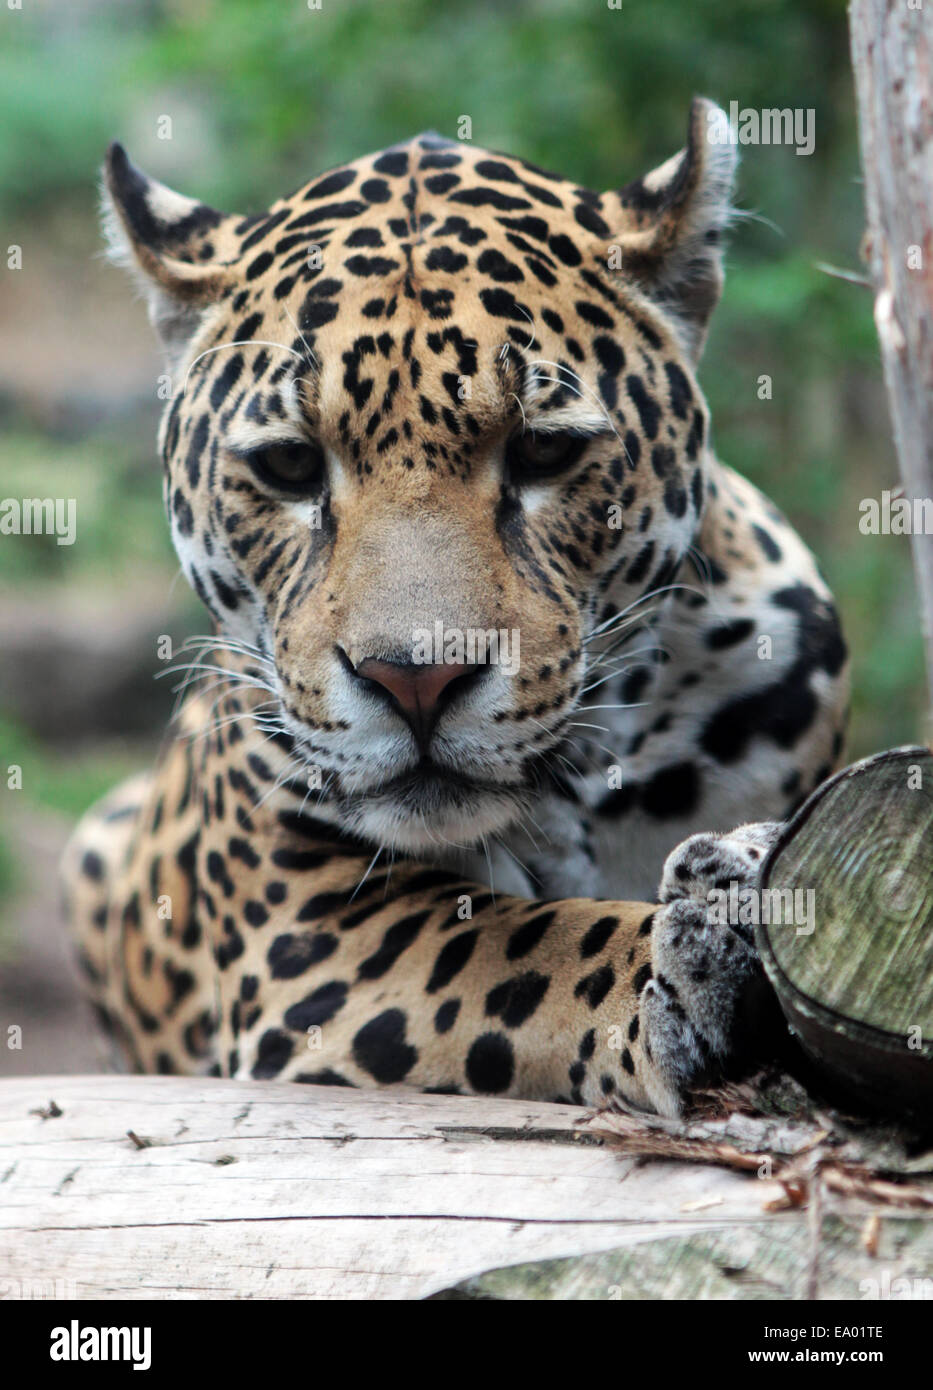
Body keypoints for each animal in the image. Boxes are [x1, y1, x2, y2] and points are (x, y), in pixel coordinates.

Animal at [60, 98, 848, 1117]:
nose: (415, 682)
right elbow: (528, 945)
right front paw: (678, 960)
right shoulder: (305, 927)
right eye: (289, 464)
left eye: (545, 452)